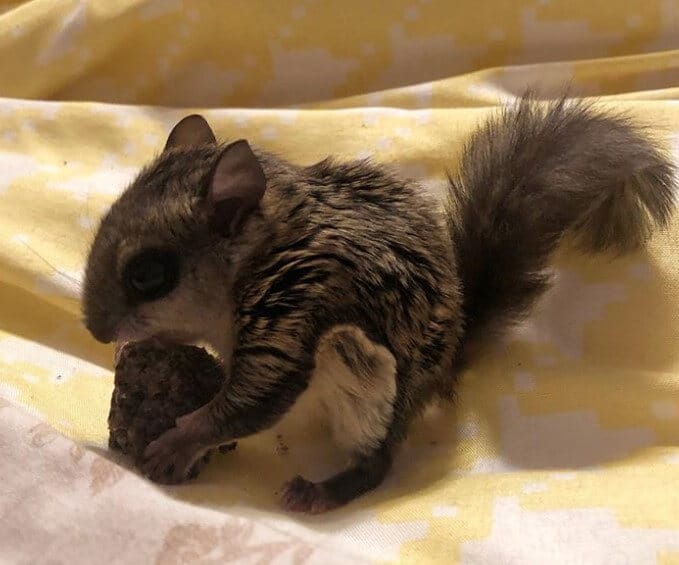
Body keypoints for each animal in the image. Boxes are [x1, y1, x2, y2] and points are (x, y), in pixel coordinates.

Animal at [82, 94, 676, 514]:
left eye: (148, 274)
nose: (95, 330)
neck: (259, 256)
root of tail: (440, 373)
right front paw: (139, 353)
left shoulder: (296, 310)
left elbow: (251, 402)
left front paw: (177, 442)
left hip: (363, 369)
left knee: (379, 462)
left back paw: (322, 491)